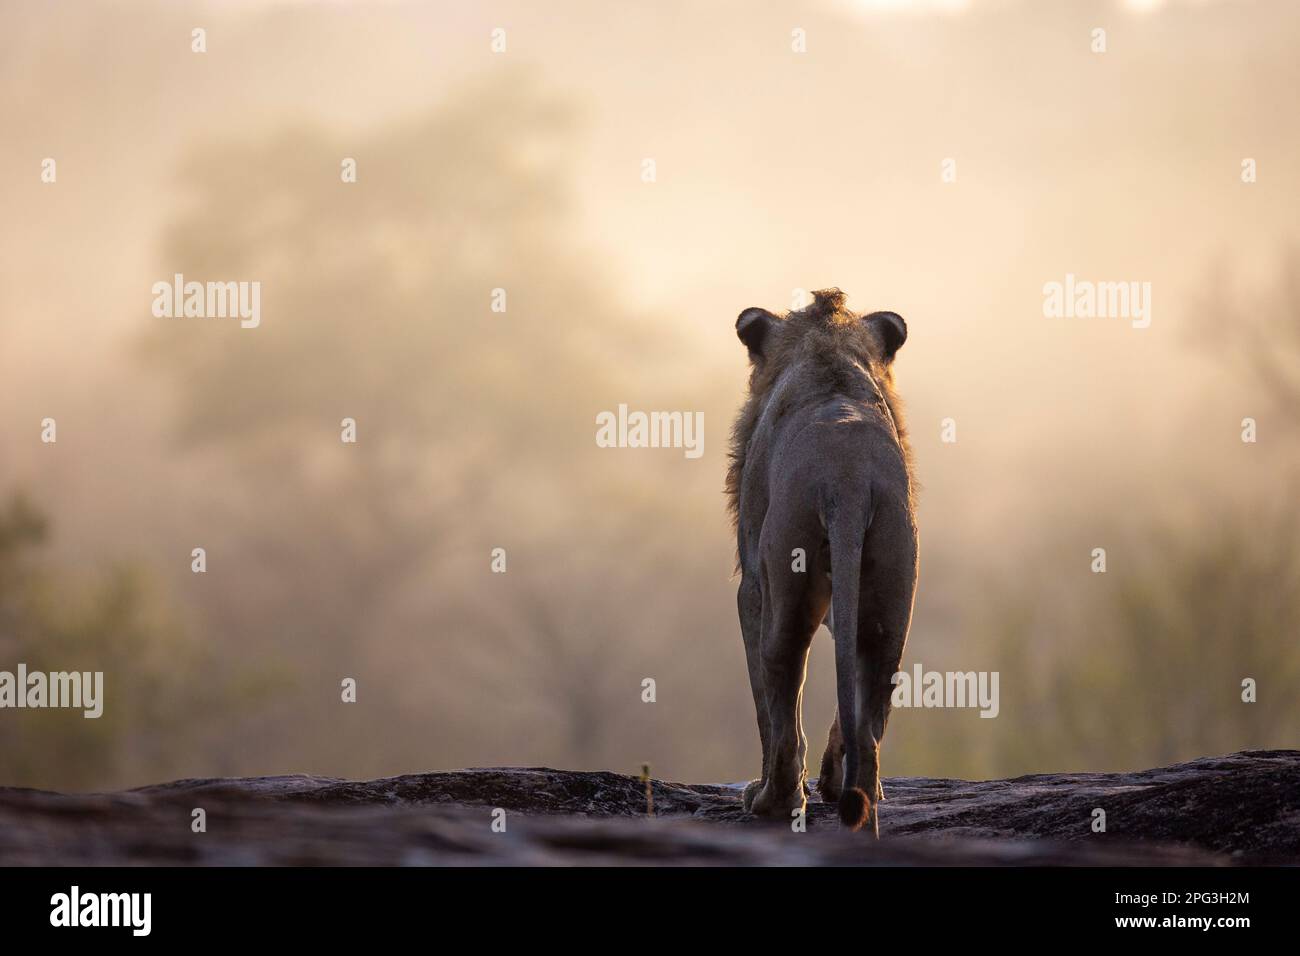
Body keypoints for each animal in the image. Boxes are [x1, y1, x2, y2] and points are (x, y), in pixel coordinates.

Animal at [726, 288, 918, 835]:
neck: (827, 353)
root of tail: (845, 477)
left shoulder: (751, 583)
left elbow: (766, 702)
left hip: (784, 580)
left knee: (781, 674)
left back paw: (772, 799)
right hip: (891, 593)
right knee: (870, 712)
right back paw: (854, 798)